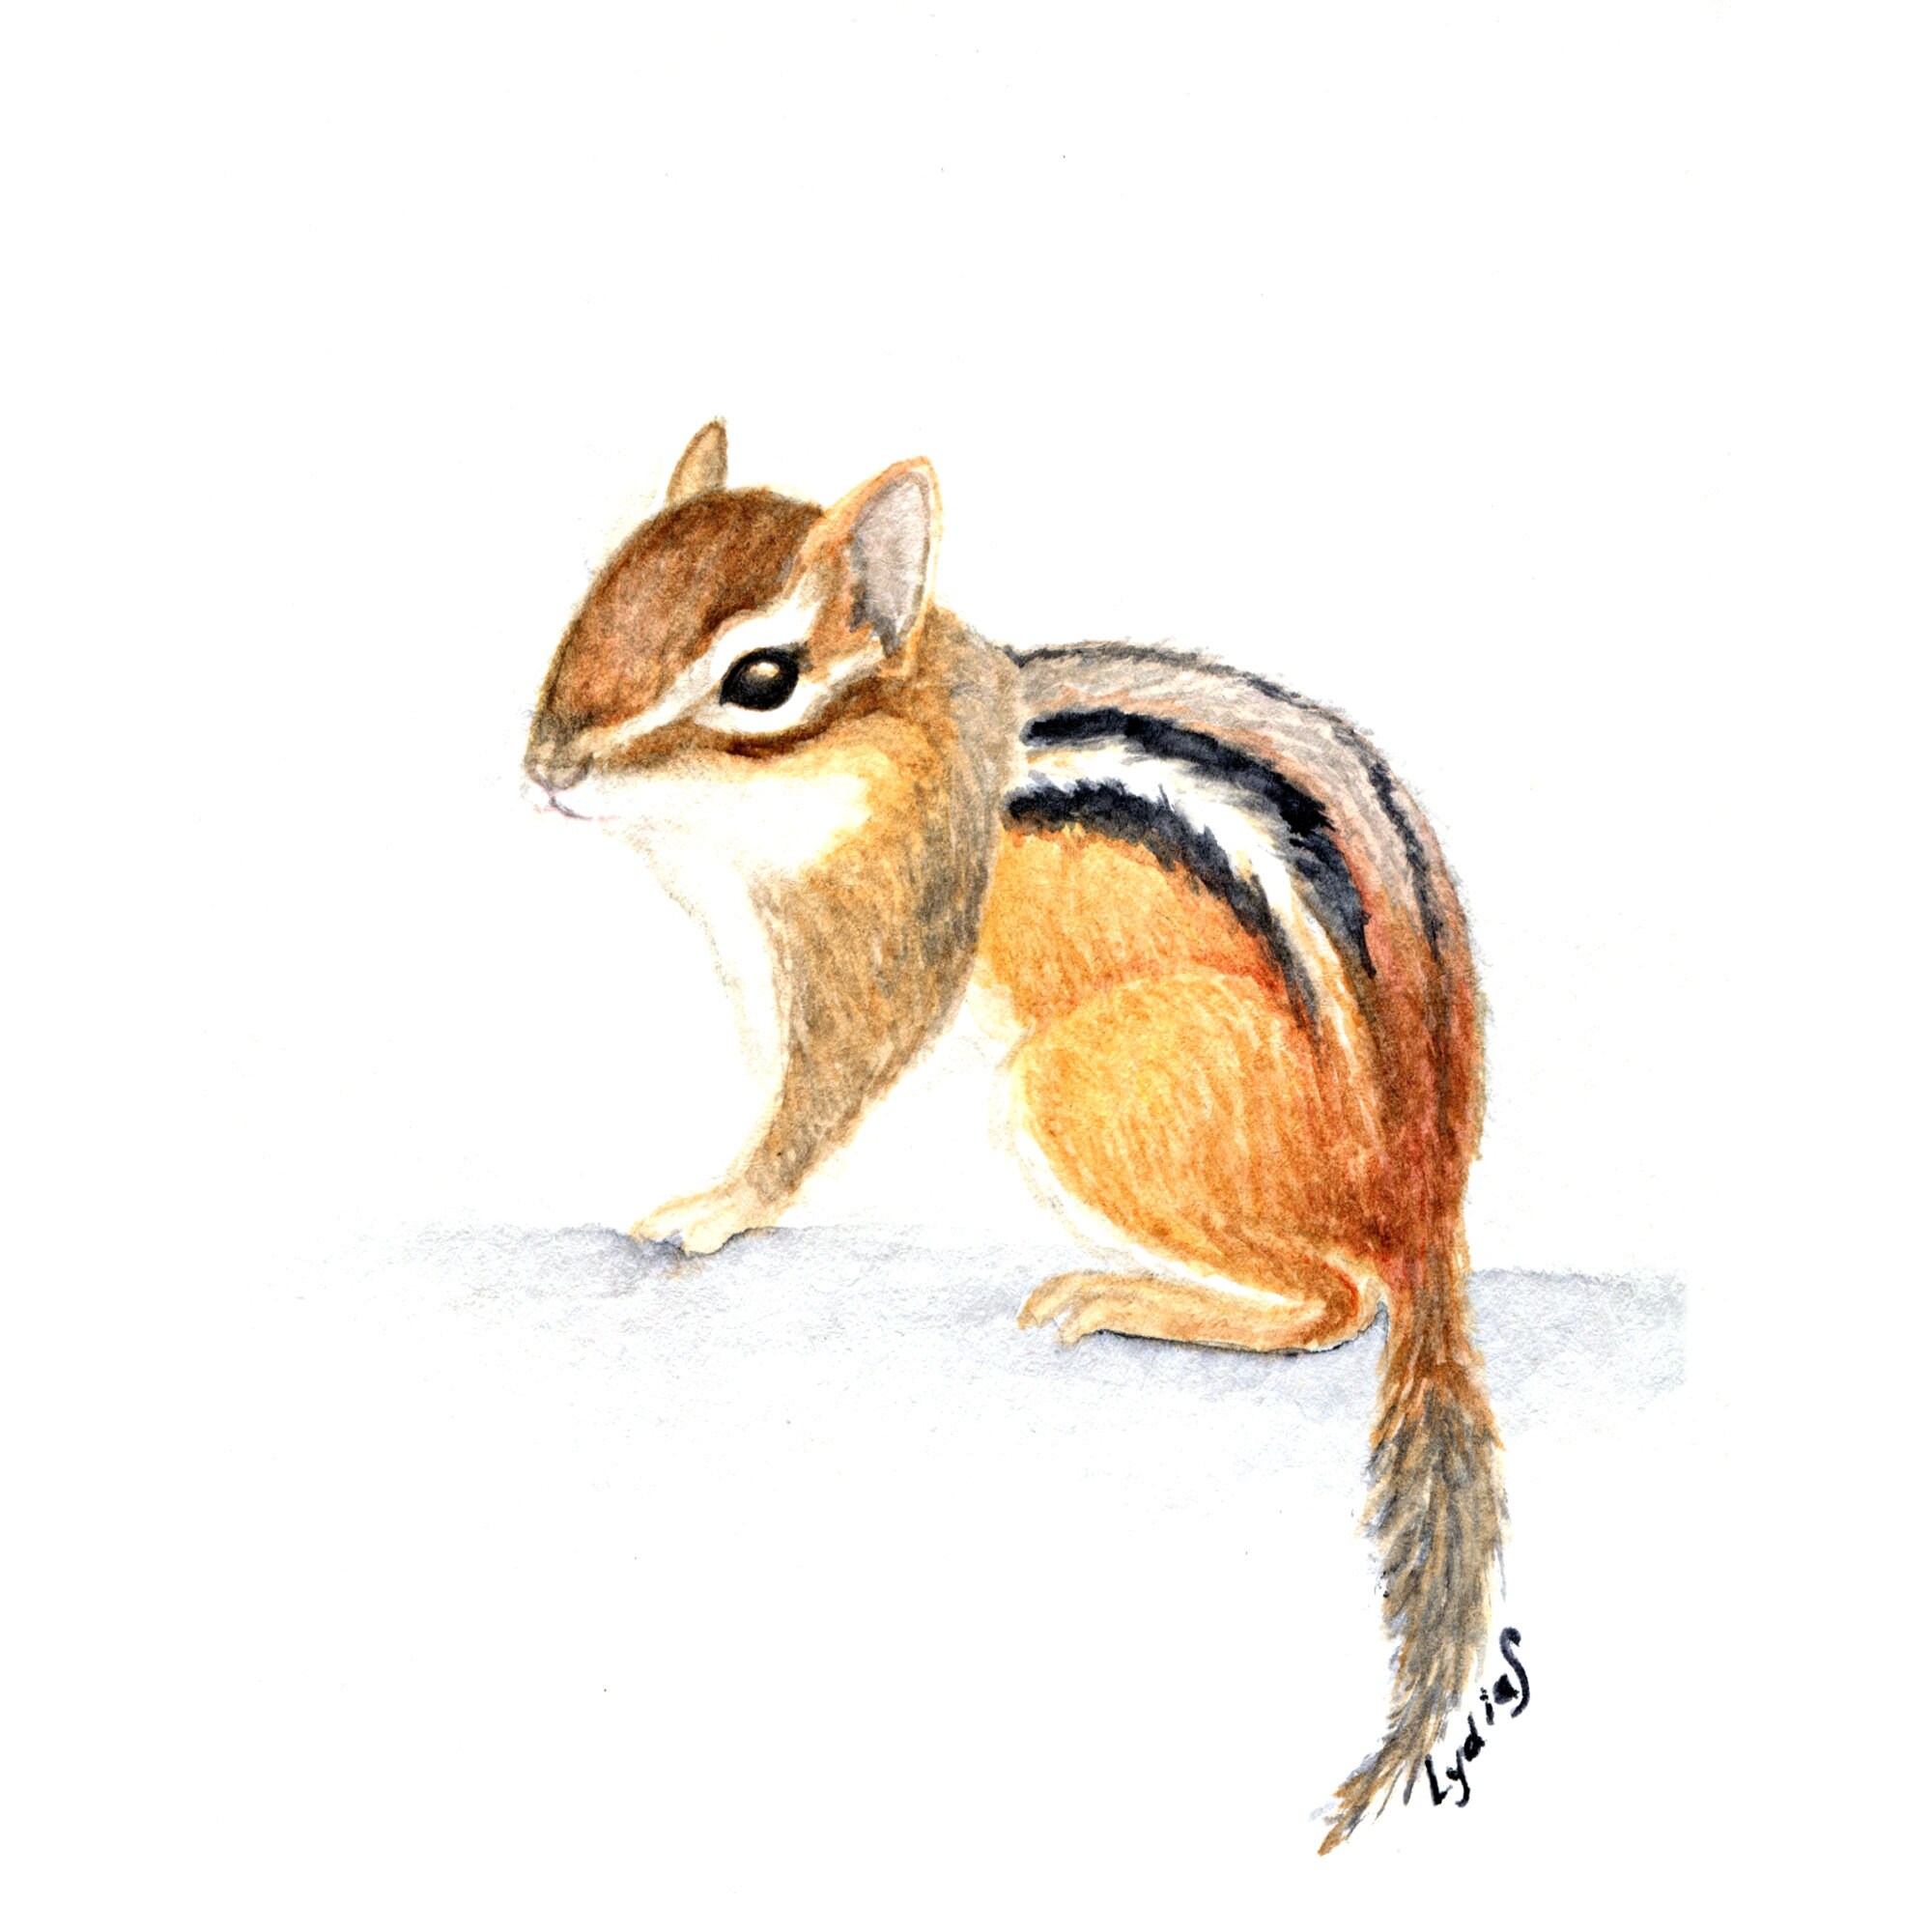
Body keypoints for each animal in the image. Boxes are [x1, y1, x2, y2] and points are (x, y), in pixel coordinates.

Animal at [523, 421, 1504, 1852]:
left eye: (761, 677)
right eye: (602, 585)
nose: (548, 769)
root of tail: (1430, 1196)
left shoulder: (873, 953)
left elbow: (813, 1103)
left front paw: (716, 1204)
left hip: (1083, 1084)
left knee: (1337, 1302)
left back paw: (1124, 1292)